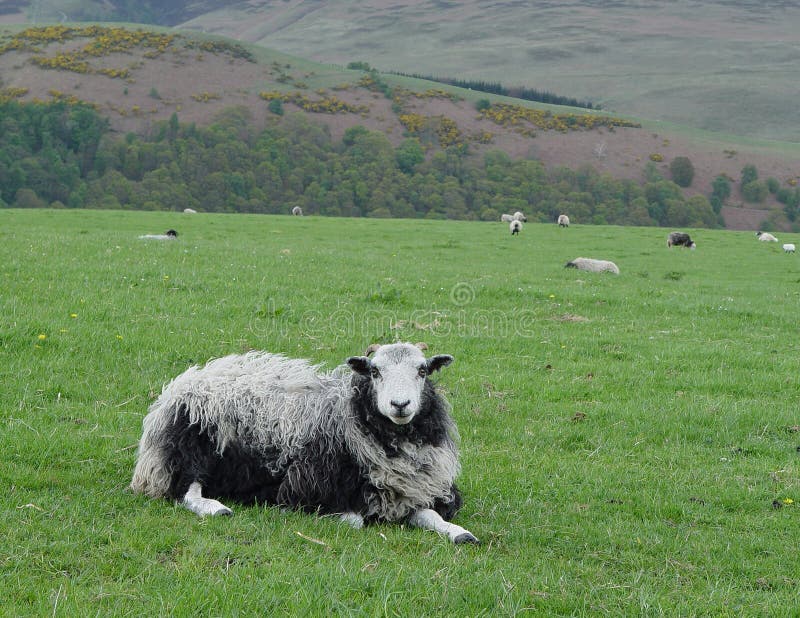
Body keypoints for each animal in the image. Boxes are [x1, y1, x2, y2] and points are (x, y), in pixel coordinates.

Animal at [130, 342, 479, 544]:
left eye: (422, 371)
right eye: (375, 371)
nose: (400, 405)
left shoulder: (411, 493)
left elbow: (432, 516)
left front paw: (460, 534)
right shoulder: (306, 486)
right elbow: (354, 520)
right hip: (193, 447)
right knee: (184, 491)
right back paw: (216, 508)